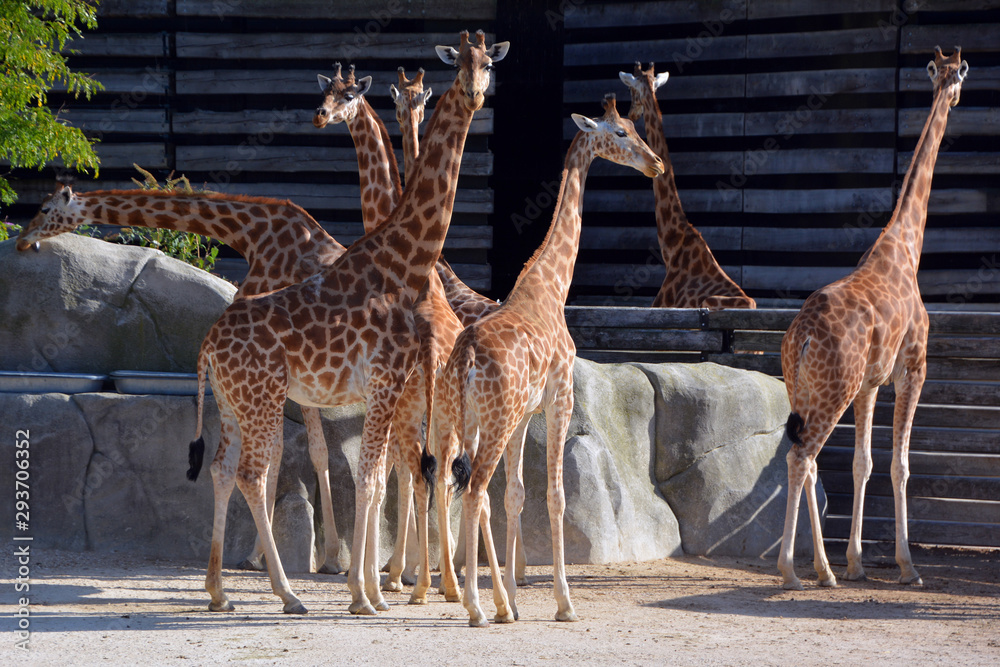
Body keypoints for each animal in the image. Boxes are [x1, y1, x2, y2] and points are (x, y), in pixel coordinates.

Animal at [16, 186, 349, 574]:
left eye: (44, 208)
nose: (22, 240)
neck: (252, 233)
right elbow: (313, 450)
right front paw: (326, 557)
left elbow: (291, 451)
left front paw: (263, 556)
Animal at [186, 30, 509, 615]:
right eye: (461, 65)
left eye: (489, 65)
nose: (475, 95)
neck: (407, 263)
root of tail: (207, 348)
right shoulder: (385, 385)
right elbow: (371, 479)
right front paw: (366, 593)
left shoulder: (392, 389)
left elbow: (379, 478)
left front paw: (377, 587)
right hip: (263, 401)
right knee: (253, 473)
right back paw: (290, 592)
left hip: (232, 402)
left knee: (224, 468)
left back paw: (221, 591)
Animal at [429, 94, 663, 626]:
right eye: (620, 132)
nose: (656, 164)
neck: (552, 286)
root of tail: (465, 358)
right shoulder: (561, 398)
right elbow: (555, 498)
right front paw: (563, 602)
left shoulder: (523, 416)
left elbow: (517, 495)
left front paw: (514, 599)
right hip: (492, 420)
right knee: (475, 491)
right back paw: (476, 607)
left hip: (463, 418)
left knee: (455, 485)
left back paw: (478, 599)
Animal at [777, 47, 967, 590]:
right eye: (959, 75)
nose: (953, 92)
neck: (905, 247)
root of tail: (799, 338)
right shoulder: (913, 368)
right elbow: (899, 465)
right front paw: (907, 566)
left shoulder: (870, 383)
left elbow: (861, 463)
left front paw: (857, 561)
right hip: (833, 390)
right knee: (802, 457)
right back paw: (790, 571)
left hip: (805, 390)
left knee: (809, 461)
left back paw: (825, 572)